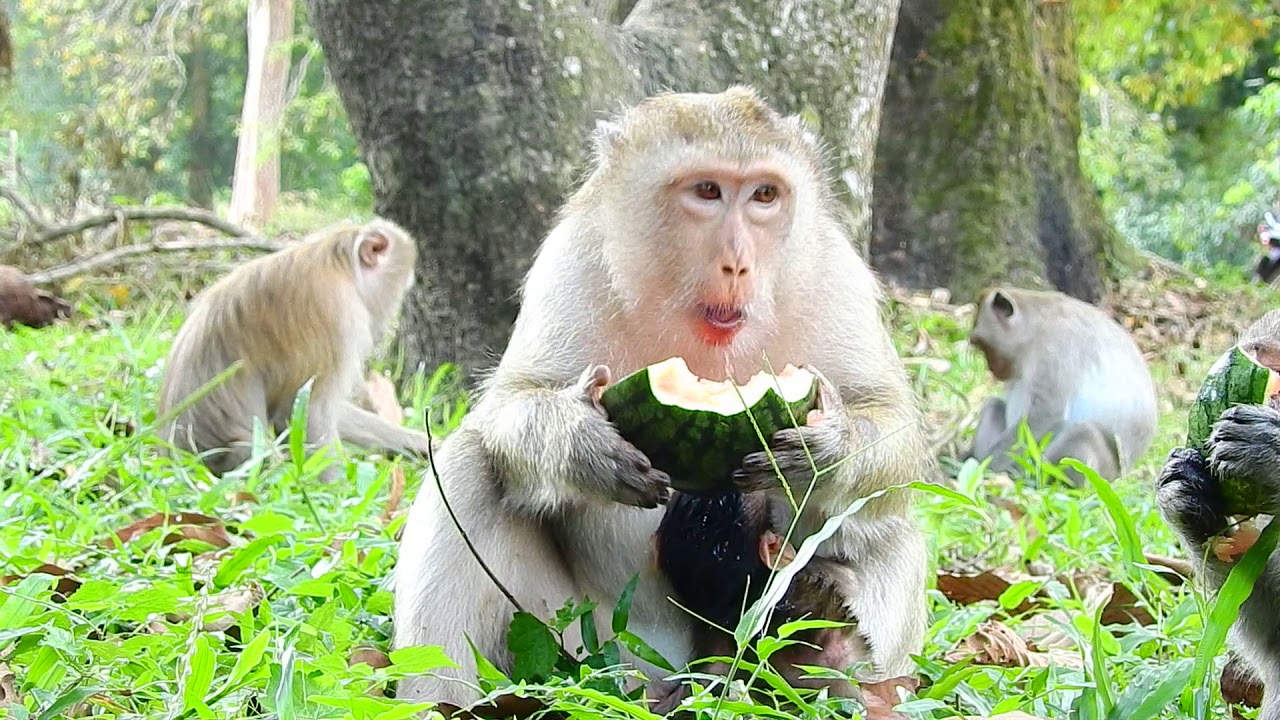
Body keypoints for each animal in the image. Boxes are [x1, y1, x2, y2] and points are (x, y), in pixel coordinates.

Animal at [392, 86, 930, 713]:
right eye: (707, 191)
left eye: (764, 195)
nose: (737, 263)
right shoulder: (572, 258)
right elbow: (513, 400)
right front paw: (584, 446)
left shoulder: (833, 269)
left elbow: (889, 421)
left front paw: (828, 447)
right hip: (584, 649)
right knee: (469, 464)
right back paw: (437, 701)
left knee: (881, 516)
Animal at [966, 286, 1158, 485]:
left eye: (983, 346)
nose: (992, 368)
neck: (1036, 329)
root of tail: (1121, 476)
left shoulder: (1056, 347)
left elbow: (1047, 412)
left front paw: (986, 466)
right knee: (994, 404)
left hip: (1097, 471)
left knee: (1084, 433)